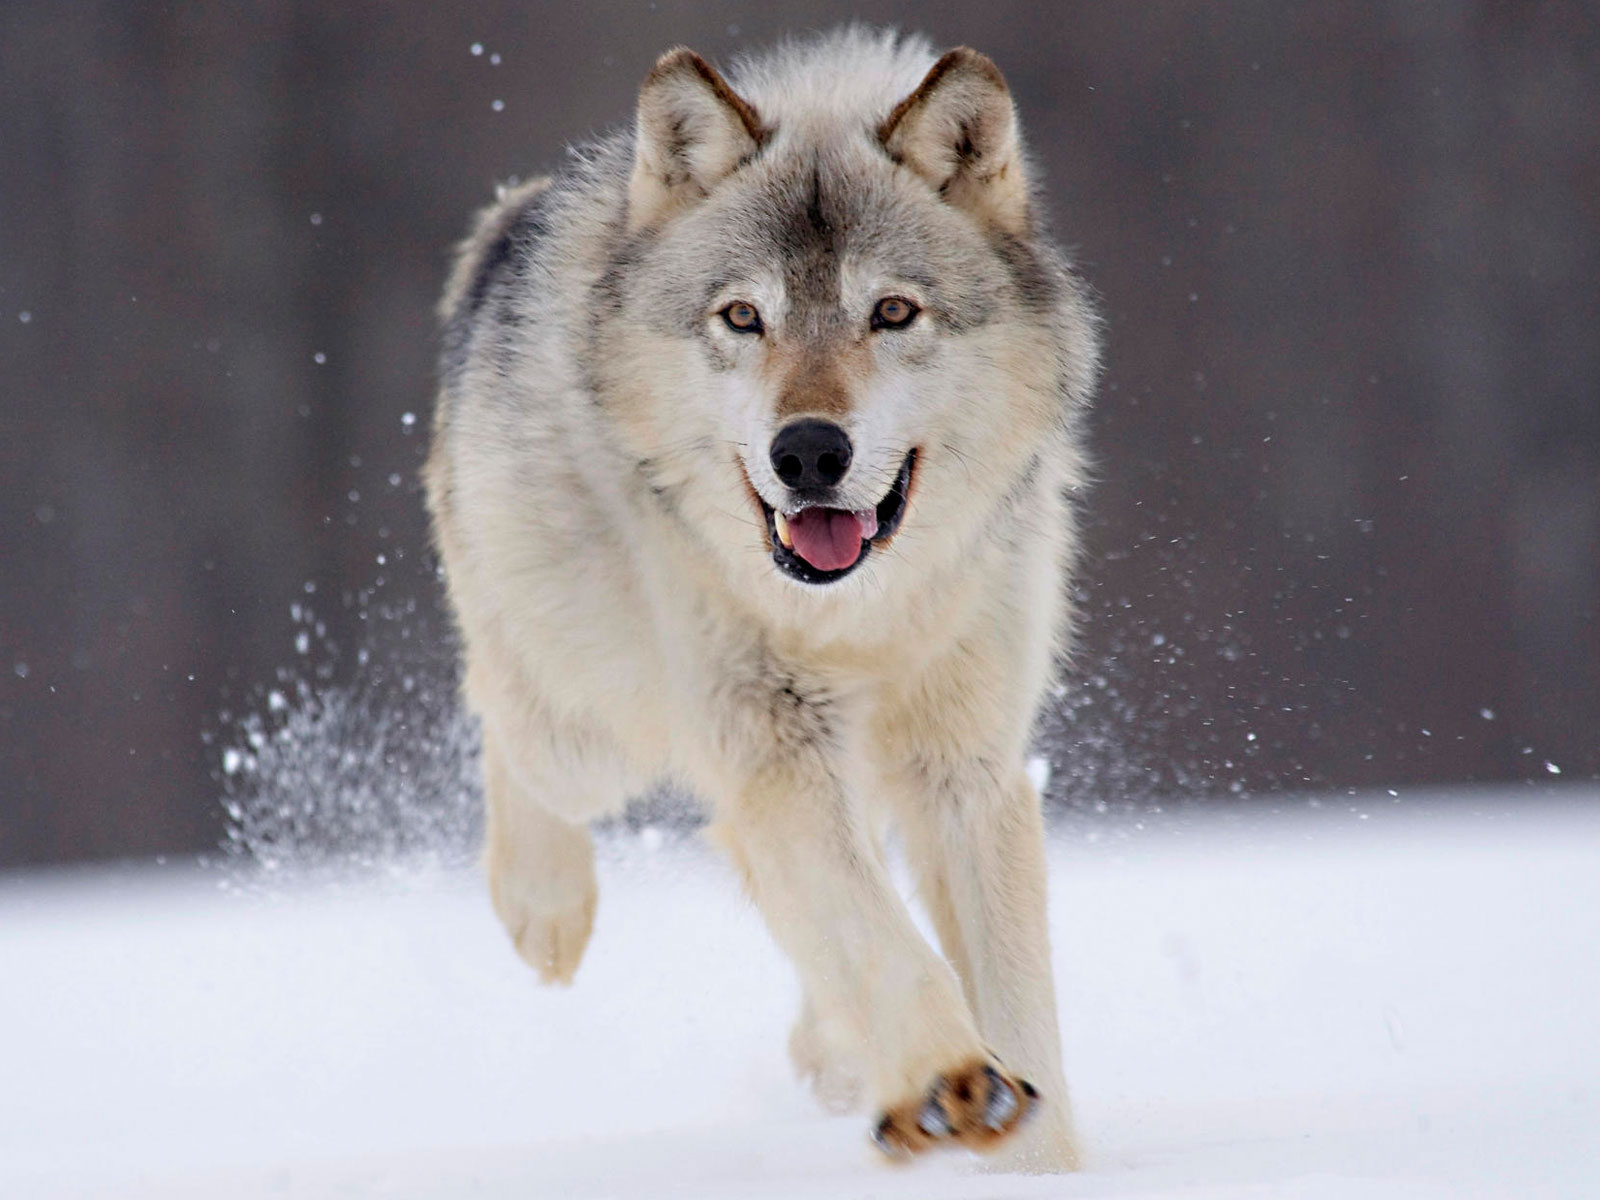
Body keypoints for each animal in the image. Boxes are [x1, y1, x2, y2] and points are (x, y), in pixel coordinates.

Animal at [424, 27, 1099, 1171]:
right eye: (743, 317)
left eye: (892, 312)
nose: (809, 452)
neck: (857, 617)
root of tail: (511, 220)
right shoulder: (772, 746)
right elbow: (882, 941)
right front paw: (947, 1081)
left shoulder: (966, 769)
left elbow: (1014, 1006)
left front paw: (1030, 1157)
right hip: (591, 727)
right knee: (505, 719)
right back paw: (544, 910)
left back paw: (834, 1055)